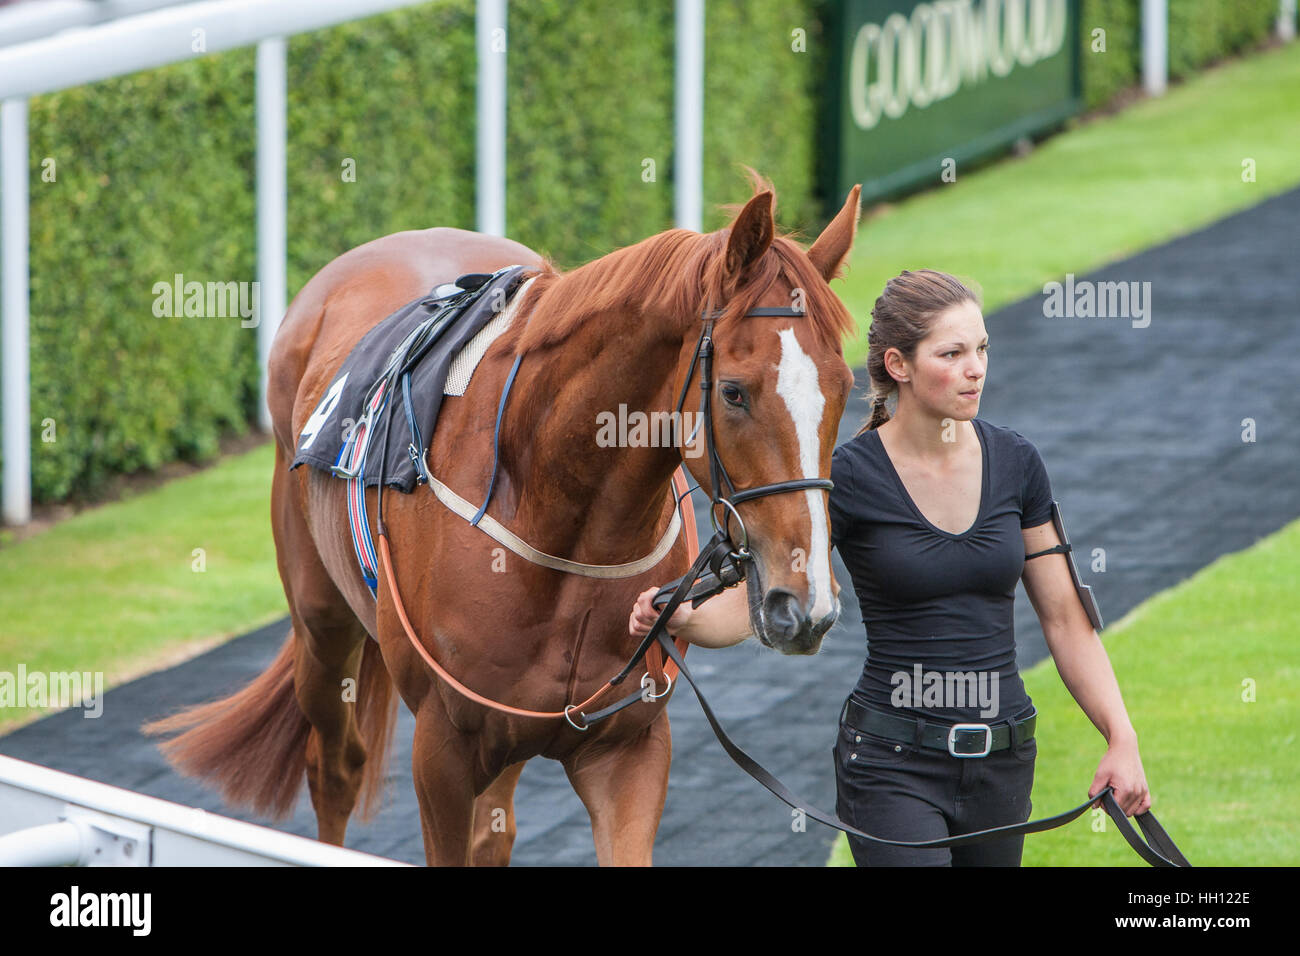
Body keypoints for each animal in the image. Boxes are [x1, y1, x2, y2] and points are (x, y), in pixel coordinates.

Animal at [144, 179, 862, 866]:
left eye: (844, 388)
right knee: (335, 767)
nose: (806, 604)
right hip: (322, 624)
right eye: (734, 392)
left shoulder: (628, 746)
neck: (560, 524)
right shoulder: (443, 749)